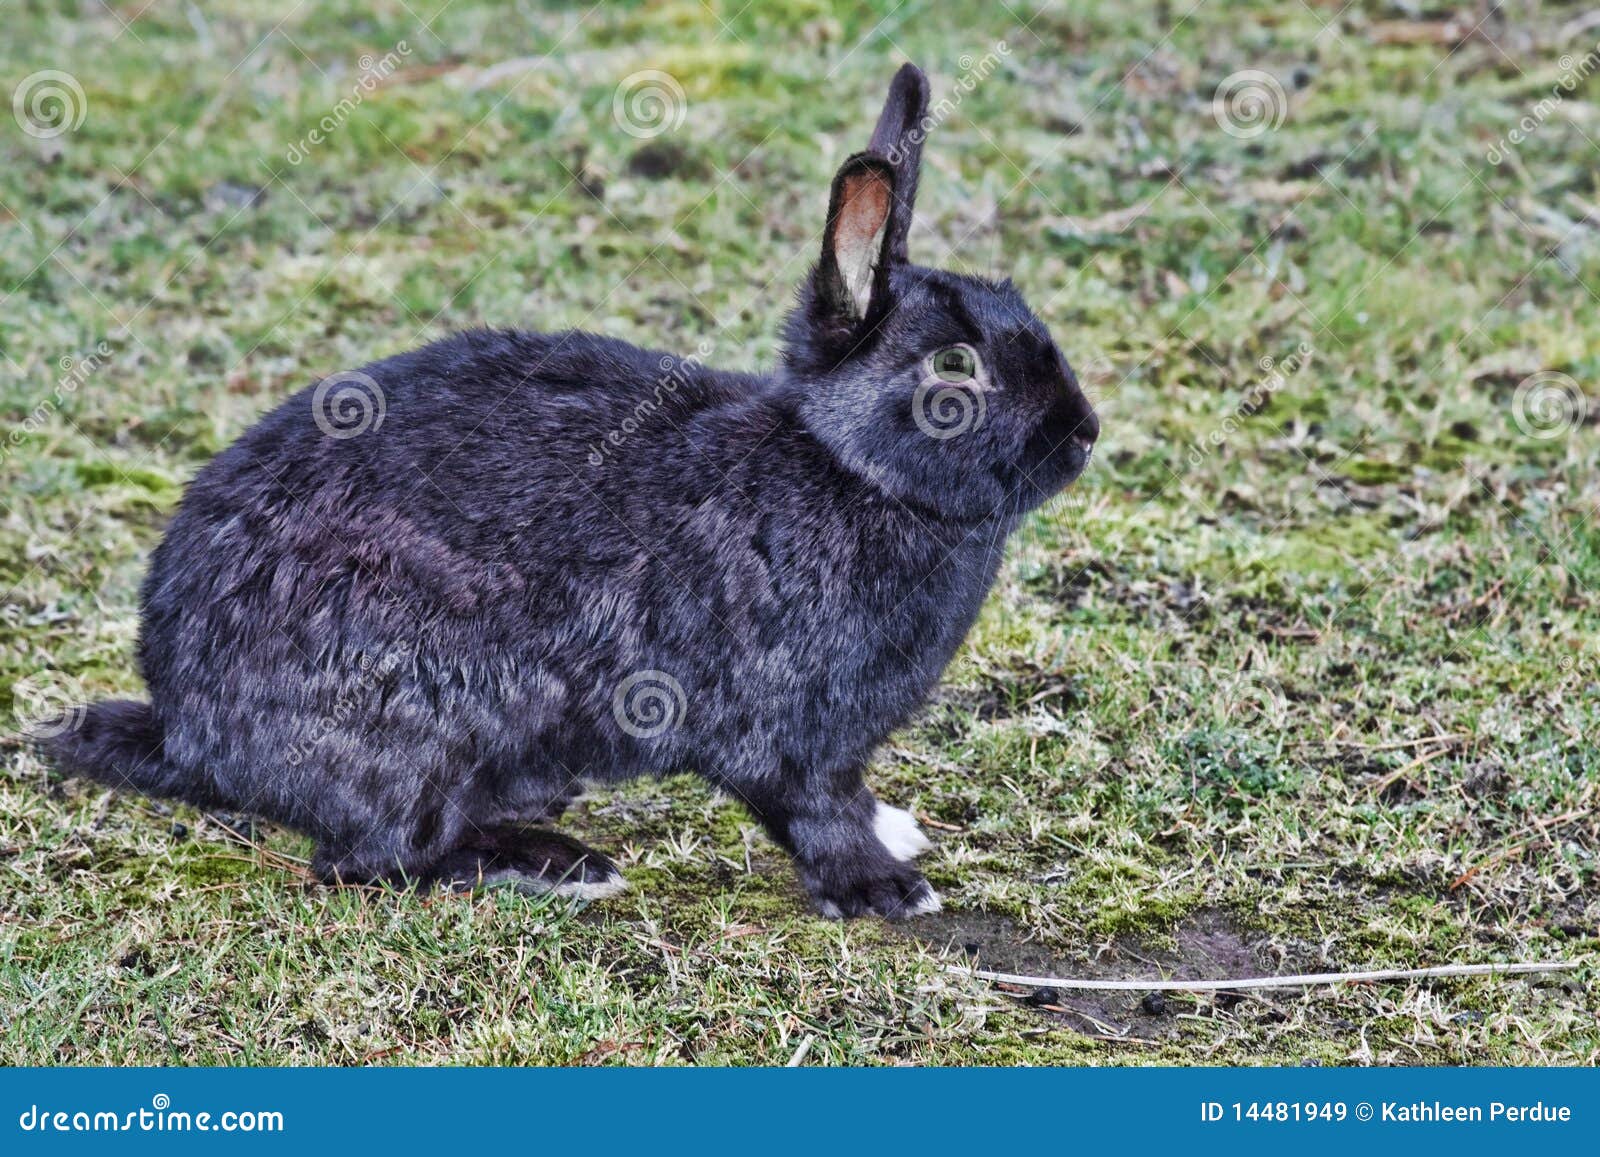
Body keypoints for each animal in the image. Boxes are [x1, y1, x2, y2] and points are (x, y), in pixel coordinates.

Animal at [42, 63, 1099, 919]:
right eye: (955, 366)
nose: (1083, 434)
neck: (843, 466)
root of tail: (187, 728)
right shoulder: (787, 731)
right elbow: (813, 806)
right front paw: (883, 888)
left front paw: (898, 833)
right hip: (414, 713)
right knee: (374, 857)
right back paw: (557, 861)